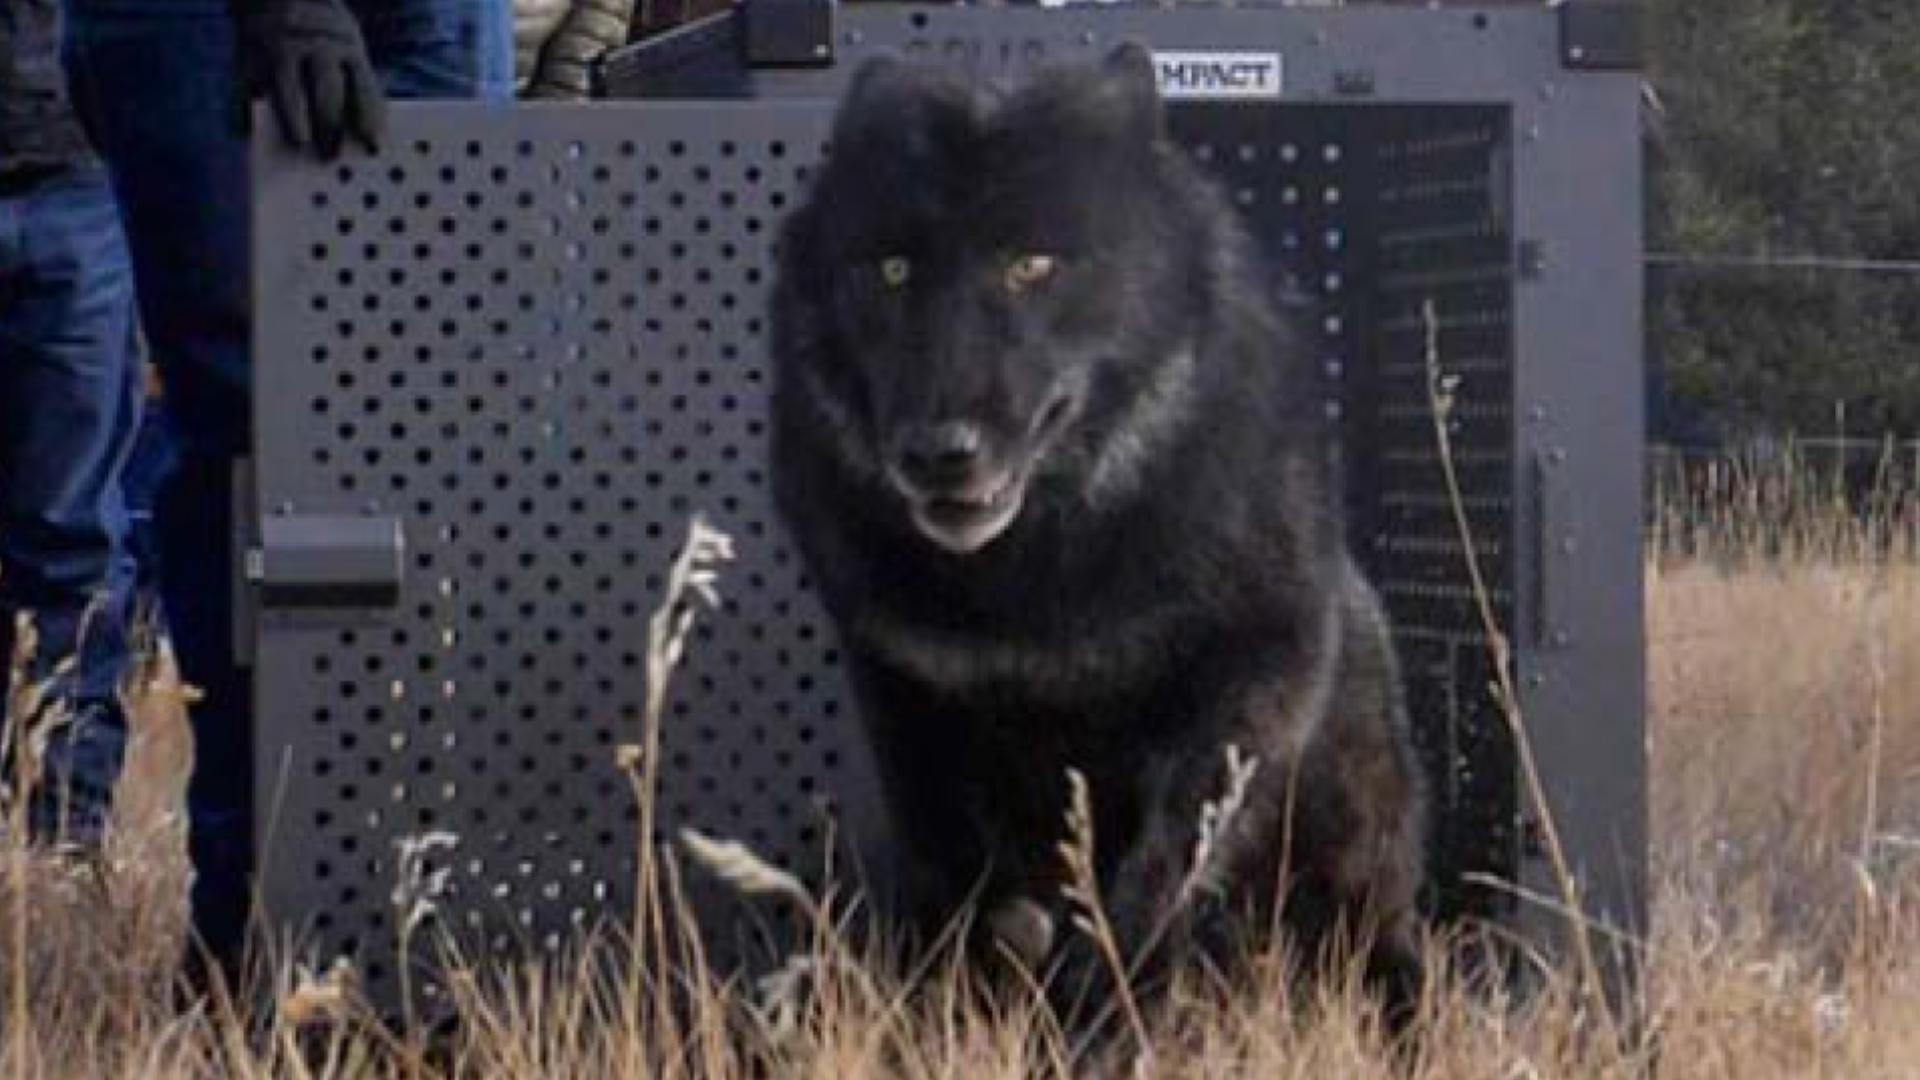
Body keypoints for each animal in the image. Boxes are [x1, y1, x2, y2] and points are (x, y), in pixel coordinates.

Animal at [767, 44, 1427, 1019]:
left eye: (1032, 264)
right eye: (889, 271)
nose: (939, 452)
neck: (1040, 584)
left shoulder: (1251, 674)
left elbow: (1163, 867)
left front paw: (1107, 999)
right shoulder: (905, 691)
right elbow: (965, 883)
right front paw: (989, 993)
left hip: (1353, 874)